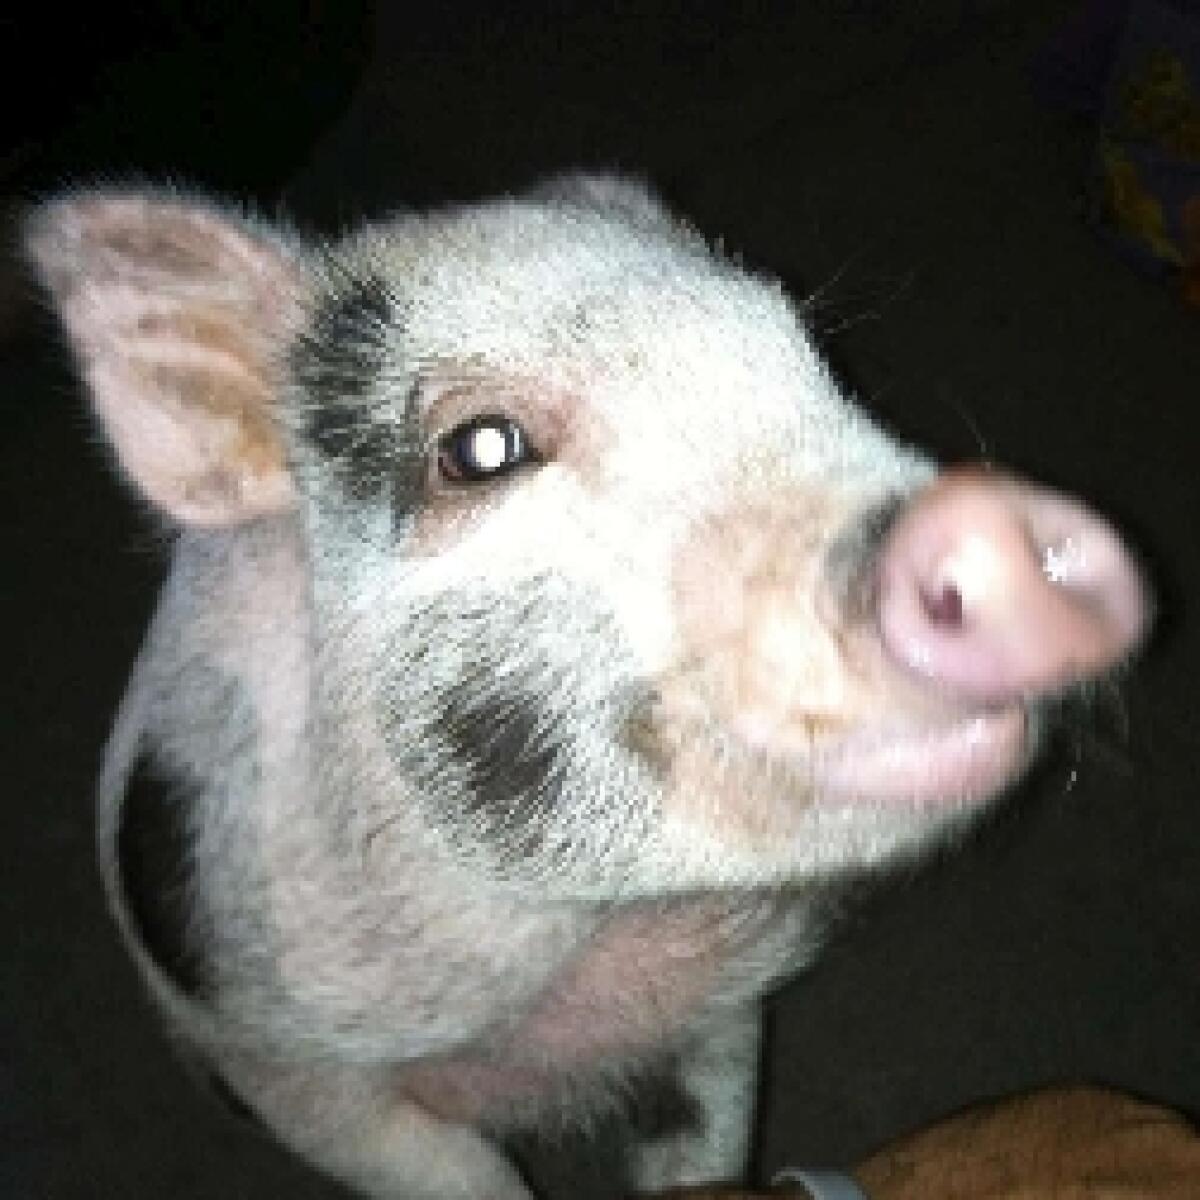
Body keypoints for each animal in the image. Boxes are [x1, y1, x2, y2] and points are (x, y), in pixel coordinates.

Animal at [25, 176, 1149, 1200]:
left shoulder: (721, 1013)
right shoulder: (294, 1074)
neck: (578, 966)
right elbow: (456, 1175)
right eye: (481, 448)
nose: (992, 518)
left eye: (809, 361)